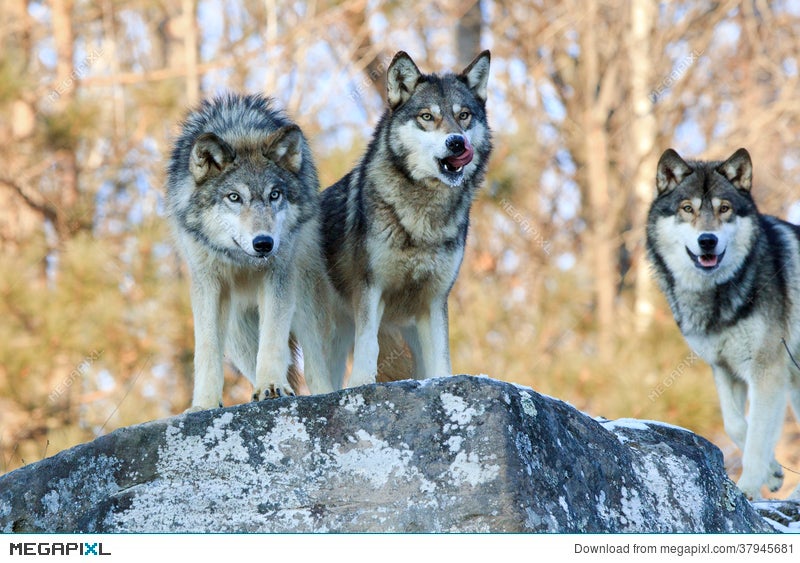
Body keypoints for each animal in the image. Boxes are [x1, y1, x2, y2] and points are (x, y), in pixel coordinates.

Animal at [166, 93, 335, 410]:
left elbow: (272, 340)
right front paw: (204, 404)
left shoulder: (279, 275)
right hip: (237, 334)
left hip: (306, 307)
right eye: (234, 197)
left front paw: (271, 386)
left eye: (274, 195)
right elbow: (206, 349)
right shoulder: (208, 284)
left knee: (317, 365)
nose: (264, 243)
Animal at [320, 50, 492, 389]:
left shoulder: (435, 299)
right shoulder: (370, 289)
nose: (457, 142)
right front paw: (362, 383)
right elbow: (368, 346)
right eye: (427, 117)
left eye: (464, 115)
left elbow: (441, 358)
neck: (423, 217)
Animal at [647, 147, 800, 499]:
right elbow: (737, 425)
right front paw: (773, 472)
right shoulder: (724, 368)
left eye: (724, 208)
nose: (707, 241)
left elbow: (756, 437)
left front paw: (748, 490)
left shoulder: (768, 371)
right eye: (688, 208)